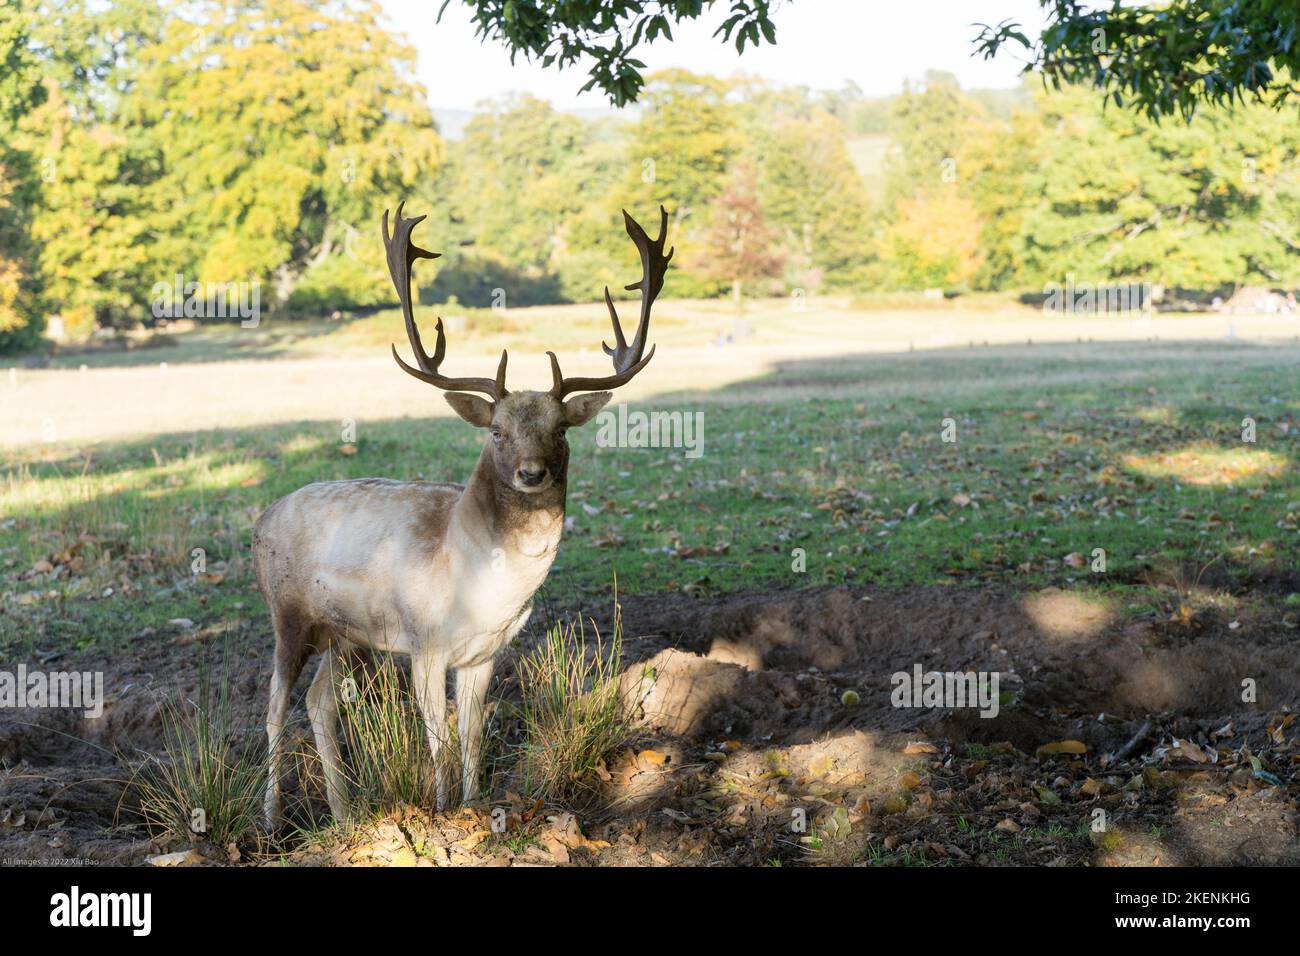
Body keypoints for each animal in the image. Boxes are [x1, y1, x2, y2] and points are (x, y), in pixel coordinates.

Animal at [254, 202, 672, 829]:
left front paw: (476, 809)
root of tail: (260, 520)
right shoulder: (425, 642)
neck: (477, 580)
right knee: (276, 706)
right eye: (496, 430)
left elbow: (473, 734)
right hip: (288, 612)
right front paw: (439, 813)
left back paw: (346, 815)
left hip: (347, 636)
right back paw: (271, 820)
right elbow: (439, 739)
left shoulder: (486, 652)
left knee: (320, 700)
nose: (531, 474)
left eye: (560, 430)